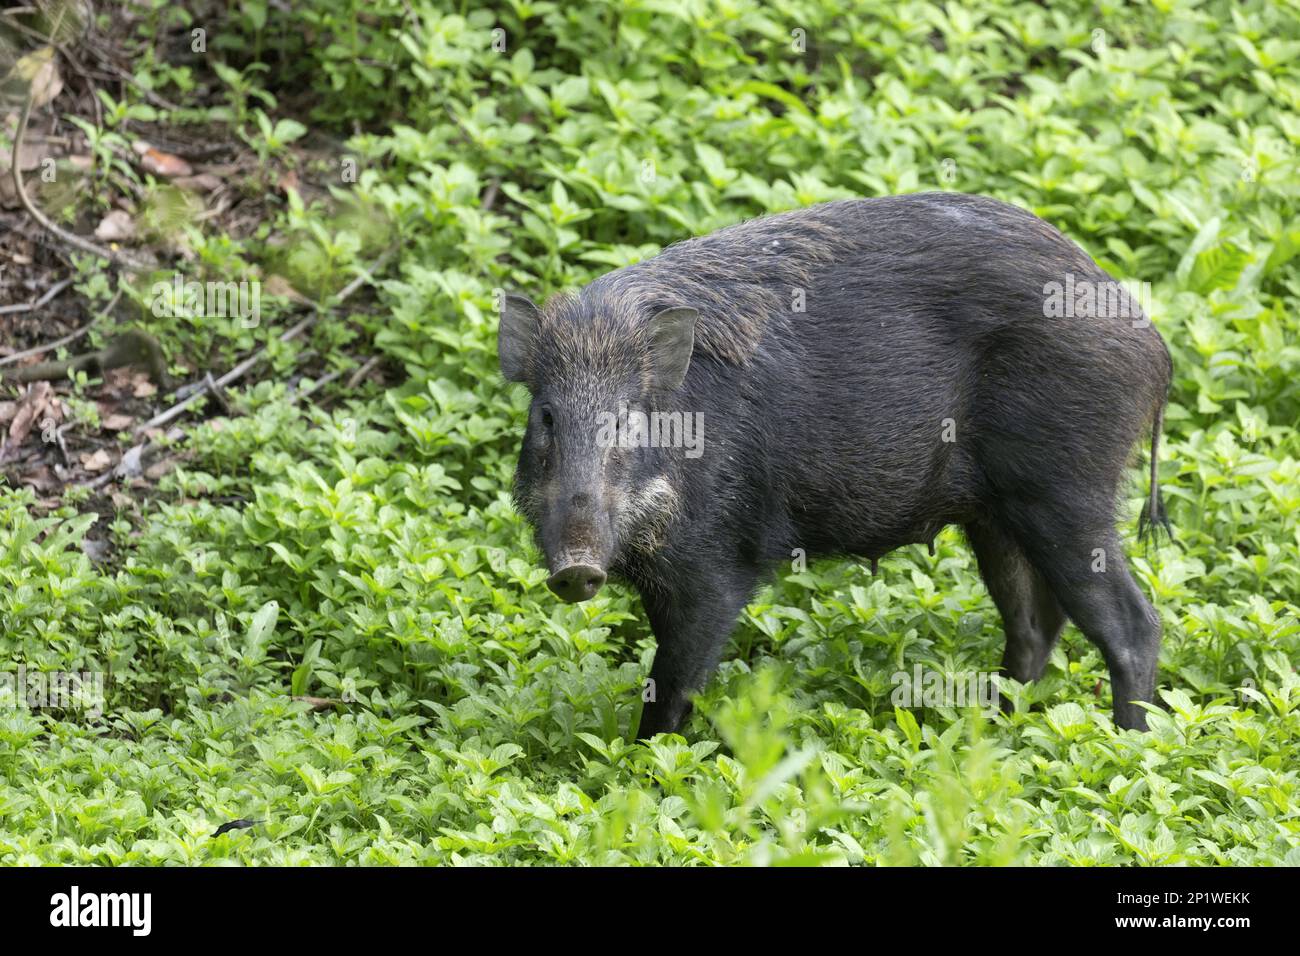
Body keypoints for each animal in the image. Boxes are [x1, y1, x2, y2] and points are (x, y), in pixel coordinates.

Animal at [499, 192, 1172, 738]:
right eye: (546, 416)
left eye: (628, 417)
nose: (576, 569)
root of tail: (1155, 347)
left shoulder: (716, 568)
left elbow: (671, 690)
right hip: (997, 516)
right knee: (1035, 625)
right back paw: (993, 732)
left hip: (1068, 493)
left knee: (1133, 626)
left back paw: (1128, 743)